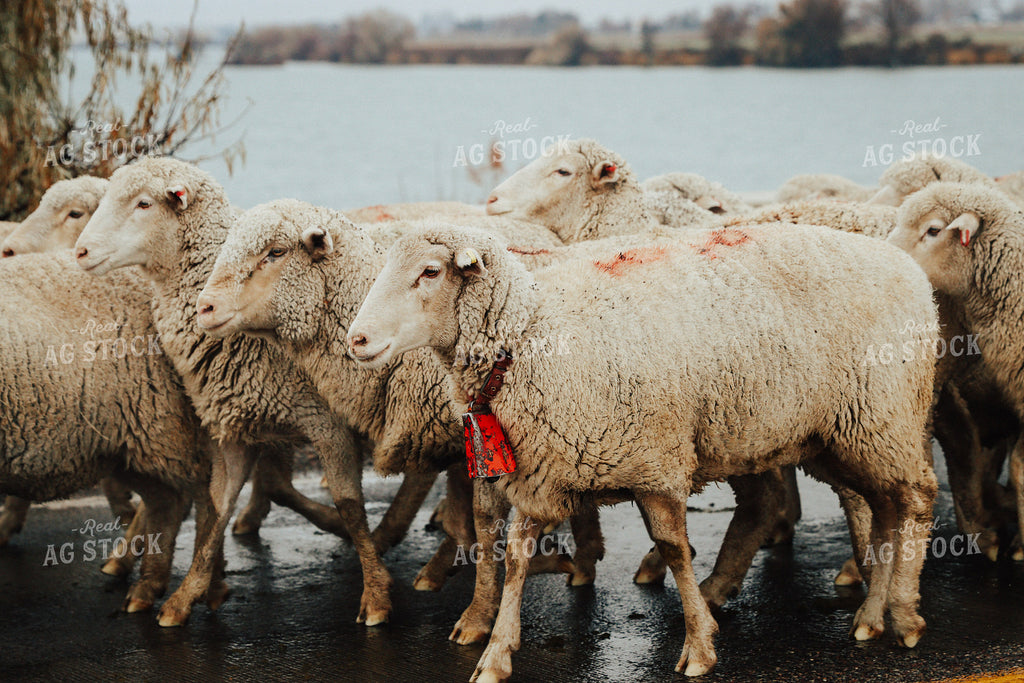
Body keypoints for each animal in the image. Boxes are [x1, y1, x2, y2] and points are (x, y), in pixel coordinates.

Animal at [0, 250, 217, 613]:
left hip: (169, 428)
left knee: (204, 502)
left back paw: (191, 592)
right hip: (125, 444)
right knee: (166, 500)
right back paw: (145, 584)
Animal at [73, 157, 442, 628]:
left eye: (143, 203)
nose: (80, 252)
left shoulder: (326, 423)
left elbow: (348, 505)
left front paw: (374, 590)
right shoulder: (236, 426)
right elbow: (221, 507)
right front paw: (186, 596)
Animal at [347, 223, 939, 680]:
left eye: (429, 272)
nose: (356, 340)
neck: (531, 335)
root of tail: (911, 270)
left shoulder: (655, 459)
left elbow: (674, 550)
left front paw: (699, 646)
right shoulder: (542, 470)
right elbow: (513, 558)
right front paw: (495, 652)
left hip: (885, 418)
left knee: (916, 500)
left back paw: (905, 615)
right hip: (838, 434)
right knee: (883, 509)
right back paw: (870, 615)